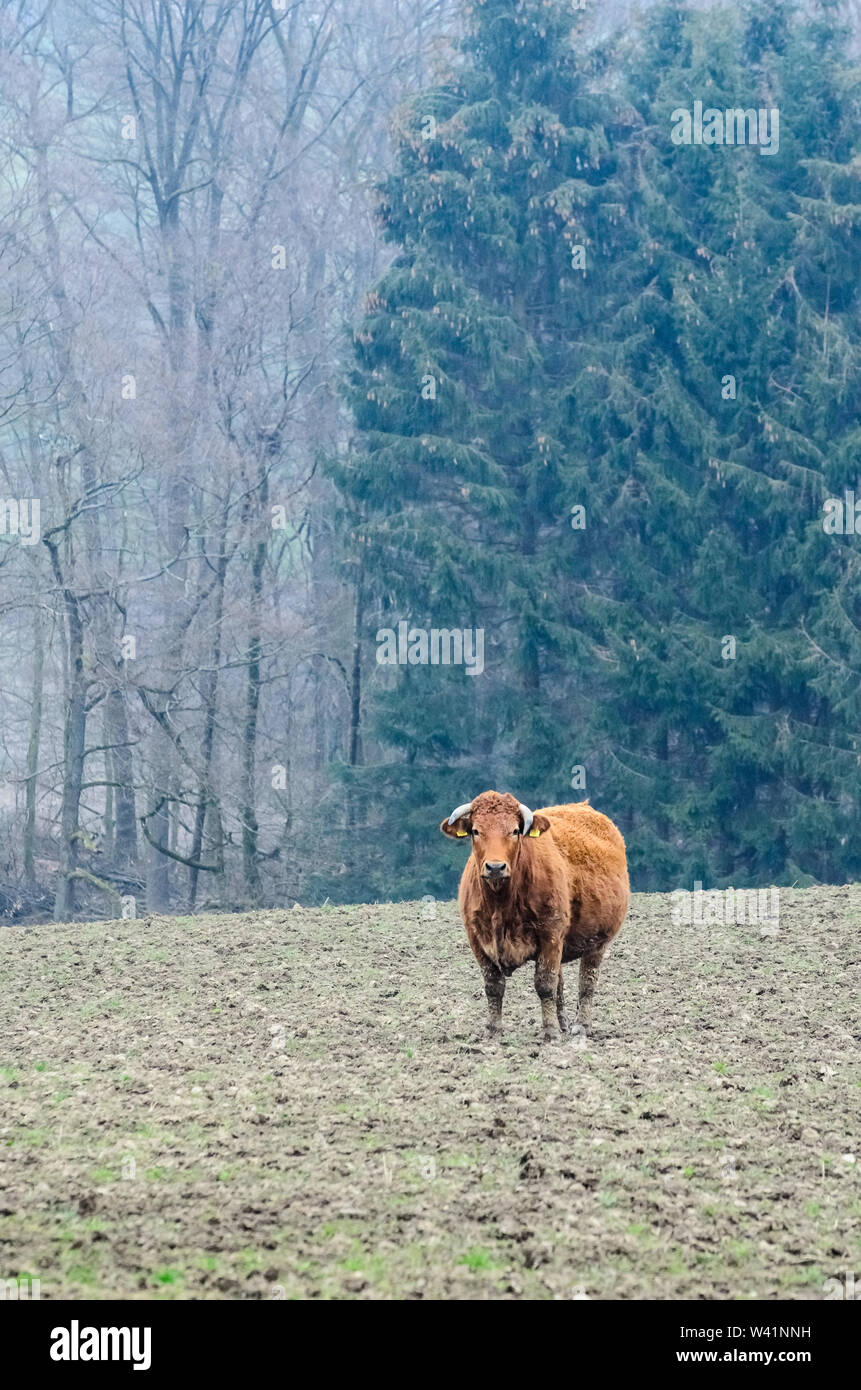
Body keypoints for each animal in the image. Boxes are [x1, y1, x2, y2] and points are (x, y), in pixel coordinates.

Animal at [440, 790, 629, 1043]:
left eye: (514, 830)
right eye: (476, 831)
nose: (495, 867)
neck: (501, 905)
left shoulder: (550, 935)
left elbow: (545, 984)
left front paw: (549, 1031)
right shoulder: (477, 939)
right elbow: (493, 985)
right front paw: (492, 1030)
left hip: (596, 943)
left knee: (586, 982)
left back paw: (581, 1025)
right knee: (561, 982)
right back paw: (563, 1023)